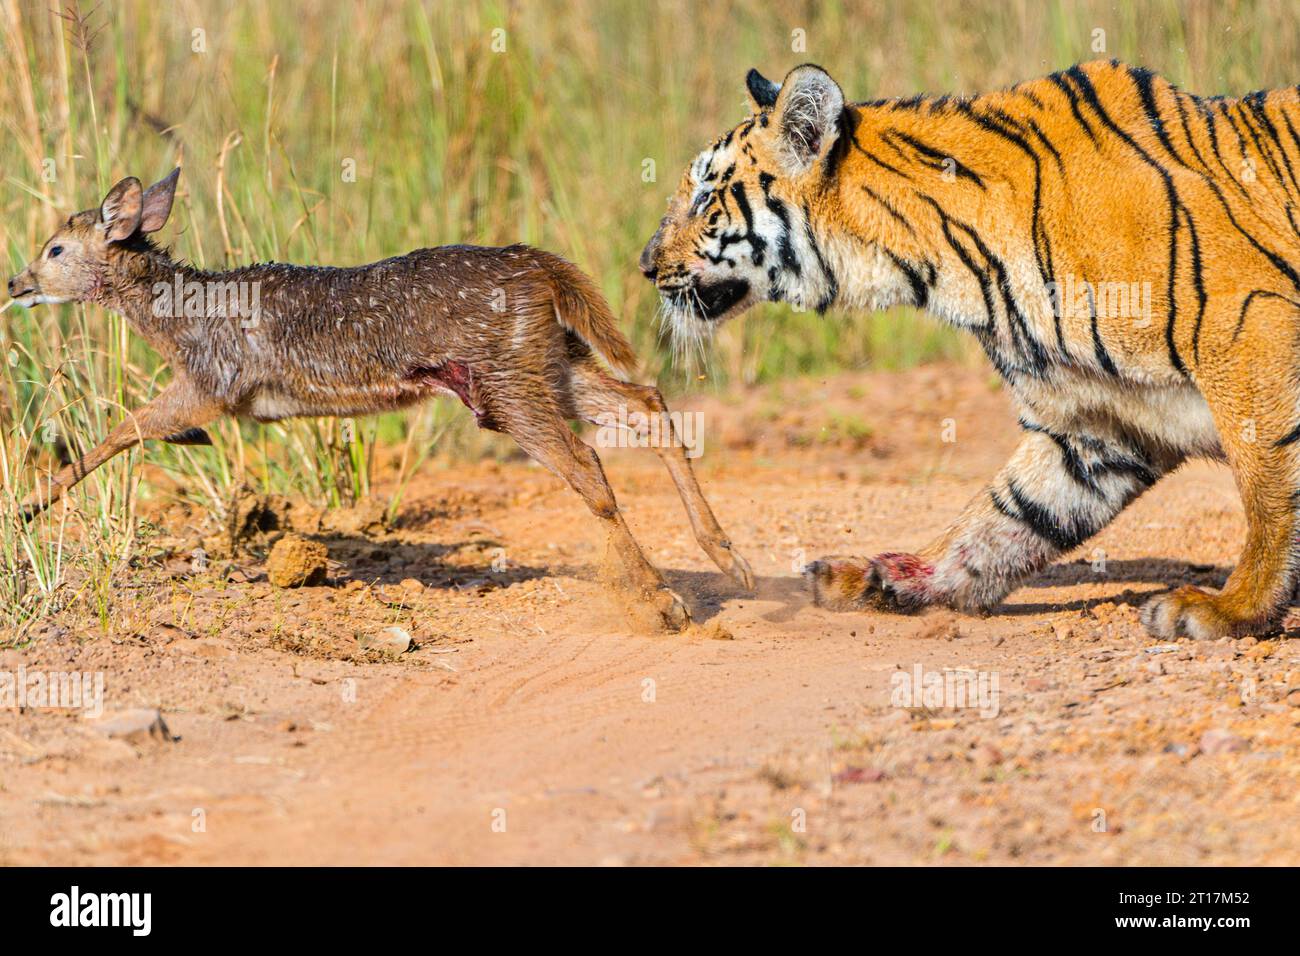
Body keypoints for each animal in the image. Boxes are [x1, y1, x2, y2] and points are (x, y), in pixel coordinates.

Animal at [7, 168, 754, 630]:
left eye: (55, 248)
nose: (15, 282)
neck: (175, 314)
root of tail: (542, 265)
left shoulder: (213, 382)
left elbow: (126, 427)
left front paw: (25, 509)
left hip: (508, 382)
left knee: (588, 464)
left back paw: (663, 603)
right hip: (547, 362)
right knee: (648, 404)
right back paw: (730, 561)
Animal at [638, 60, 1300, 640]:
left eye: (704, 199)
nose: (644, 265)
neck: (944, 265)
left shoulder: (1252, 335)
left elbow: (1269, 493)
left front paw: (1232, 609)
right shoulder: (1095, 422)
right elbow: (1006, 516)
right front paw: (886, 579)